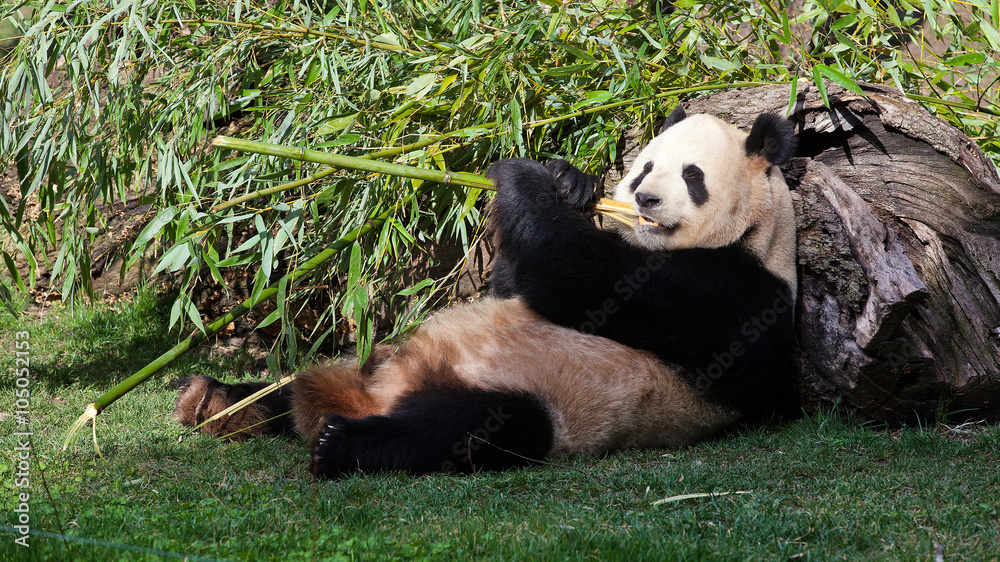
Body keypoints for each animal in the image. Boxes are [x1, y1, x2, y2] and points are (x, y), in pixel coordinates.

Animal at [174, 106, 798, 477]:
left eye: (692, 176)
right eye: (644, 167)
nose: (643, 198)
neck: (757, 232)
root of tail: (377, 393)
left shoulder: (732, 293)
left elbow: (581, 278)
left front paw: (522, 177)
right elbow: (512, 286)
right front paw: (570, 181)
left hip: (549, 406)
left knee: (467, 427)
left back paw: (338, 442)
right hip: (378, 355)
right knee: (292, 385)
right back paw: (213, 399)